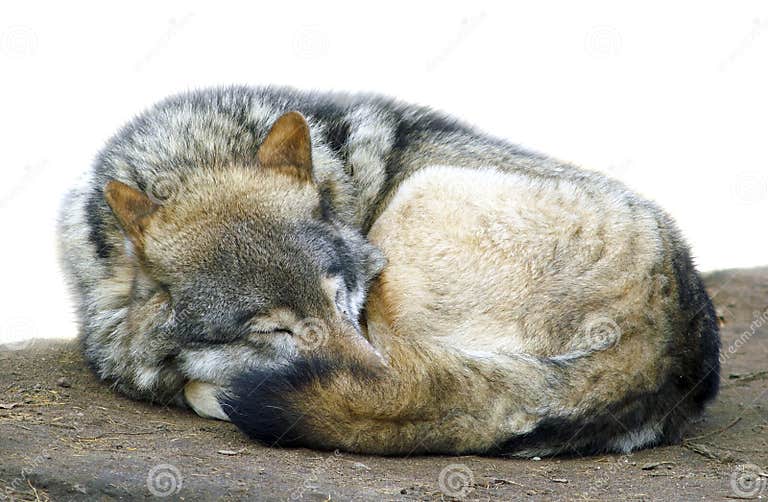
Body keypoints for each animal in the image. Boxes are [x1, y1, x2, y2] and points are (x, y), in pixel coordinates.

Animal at [58, 86, 720, 456]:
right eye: (275, 330)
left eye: (341, 298)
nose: (372, 381)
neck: (194, 157)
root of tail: (667, 340)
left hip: (416, 203)